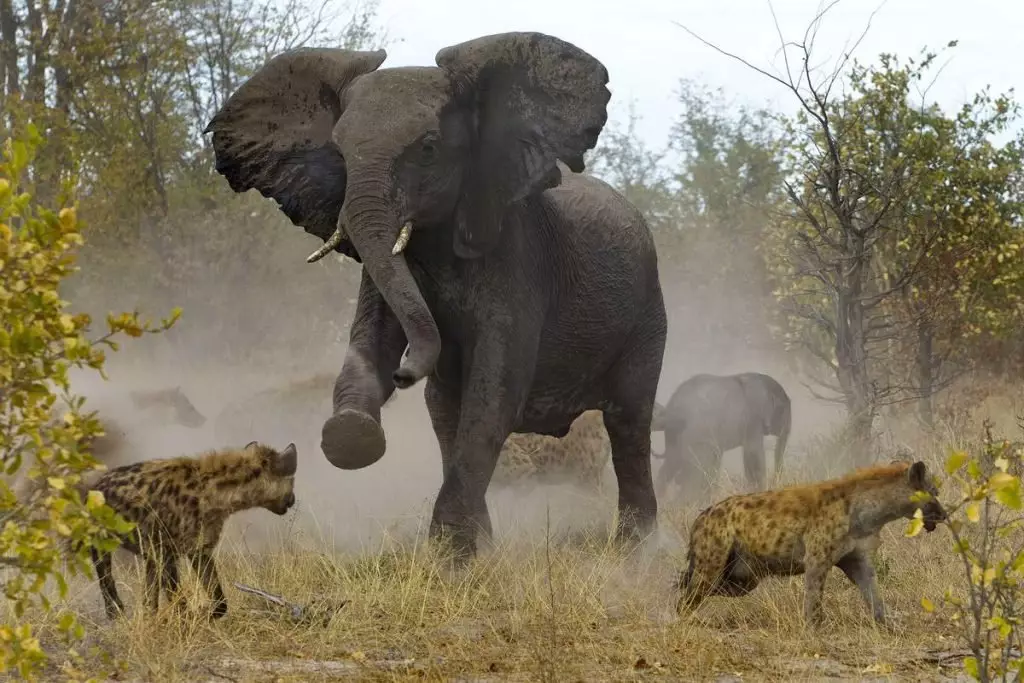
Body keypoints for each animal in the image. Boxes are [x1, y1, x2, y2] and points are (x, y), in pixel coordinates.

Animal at [205, 30, 671, 561]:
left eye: (428, 149)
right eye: (339, 154)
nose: (405, 374)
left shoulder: (518, 260)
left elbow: (495, 393)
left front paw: (449, 560)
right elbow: (372, 346)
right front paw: (352, 435)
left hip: (648, 313)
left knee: (629, 422)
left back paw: (635, 553)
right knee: (445, 415)